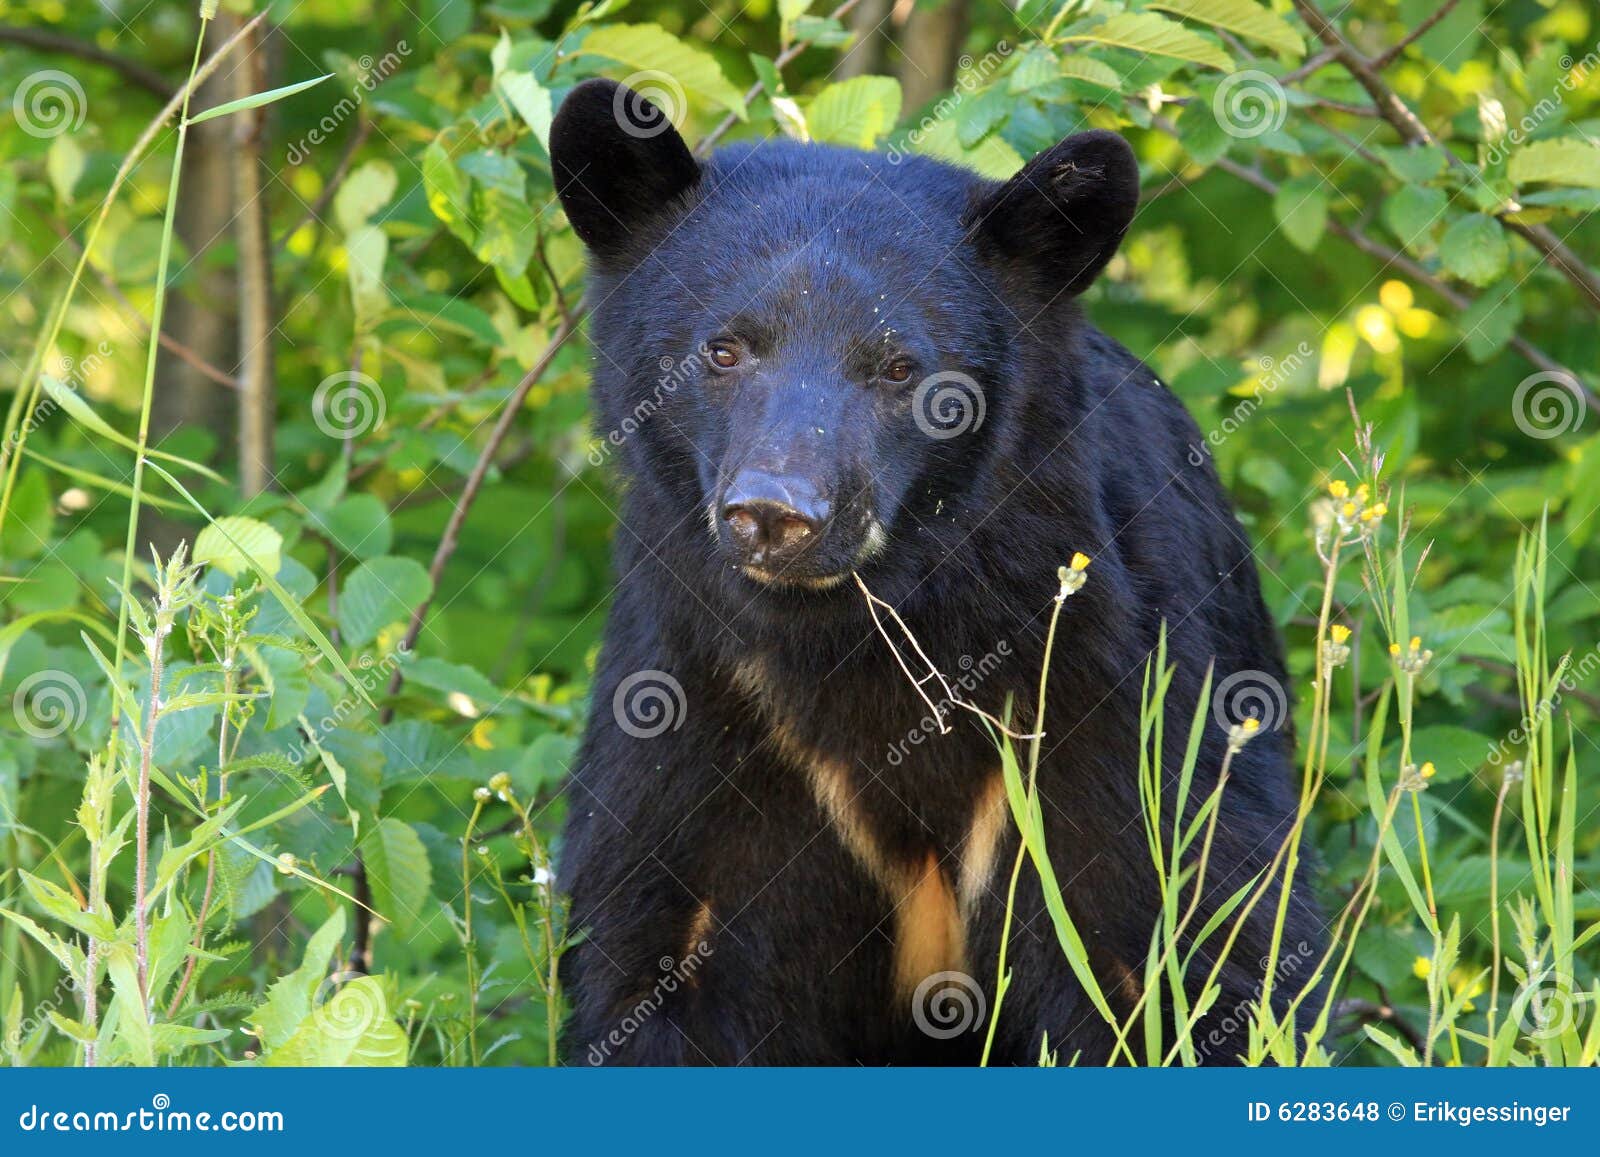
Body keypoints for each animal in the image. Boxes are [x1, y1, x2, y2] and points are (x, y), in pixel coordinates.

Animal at [549, 77, 1322, 1066]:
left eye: (899, 368)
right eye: (723, 348)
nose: (776, 513)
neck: (859, 643)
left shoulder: (1110, 698)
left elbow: (1177, 943)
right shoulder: (701, 701)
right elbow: (661, 955)